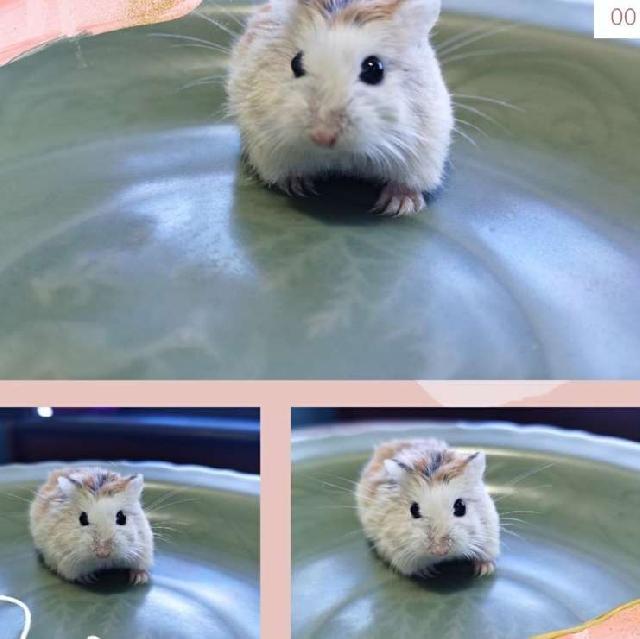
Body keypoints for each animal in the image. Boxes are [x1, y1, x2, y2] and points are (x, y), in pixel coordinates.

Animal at [227, 0, 453, 216]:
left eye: (374, 68)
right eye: (295, 63)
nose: (322, 137)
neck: (340, 155)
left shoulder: (424, 144)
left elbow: (407, 182)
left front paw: (399, 206)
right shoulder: (265, 140)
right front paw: (298, 187)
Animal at [356, 439, 500, 577]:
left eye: (461, 507)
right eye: (413, 510)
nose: (440, 551)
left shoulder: (490, 533)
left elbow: (485, 556)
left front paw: (484, 570)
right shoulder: (397, 550)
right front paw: (428, 572)